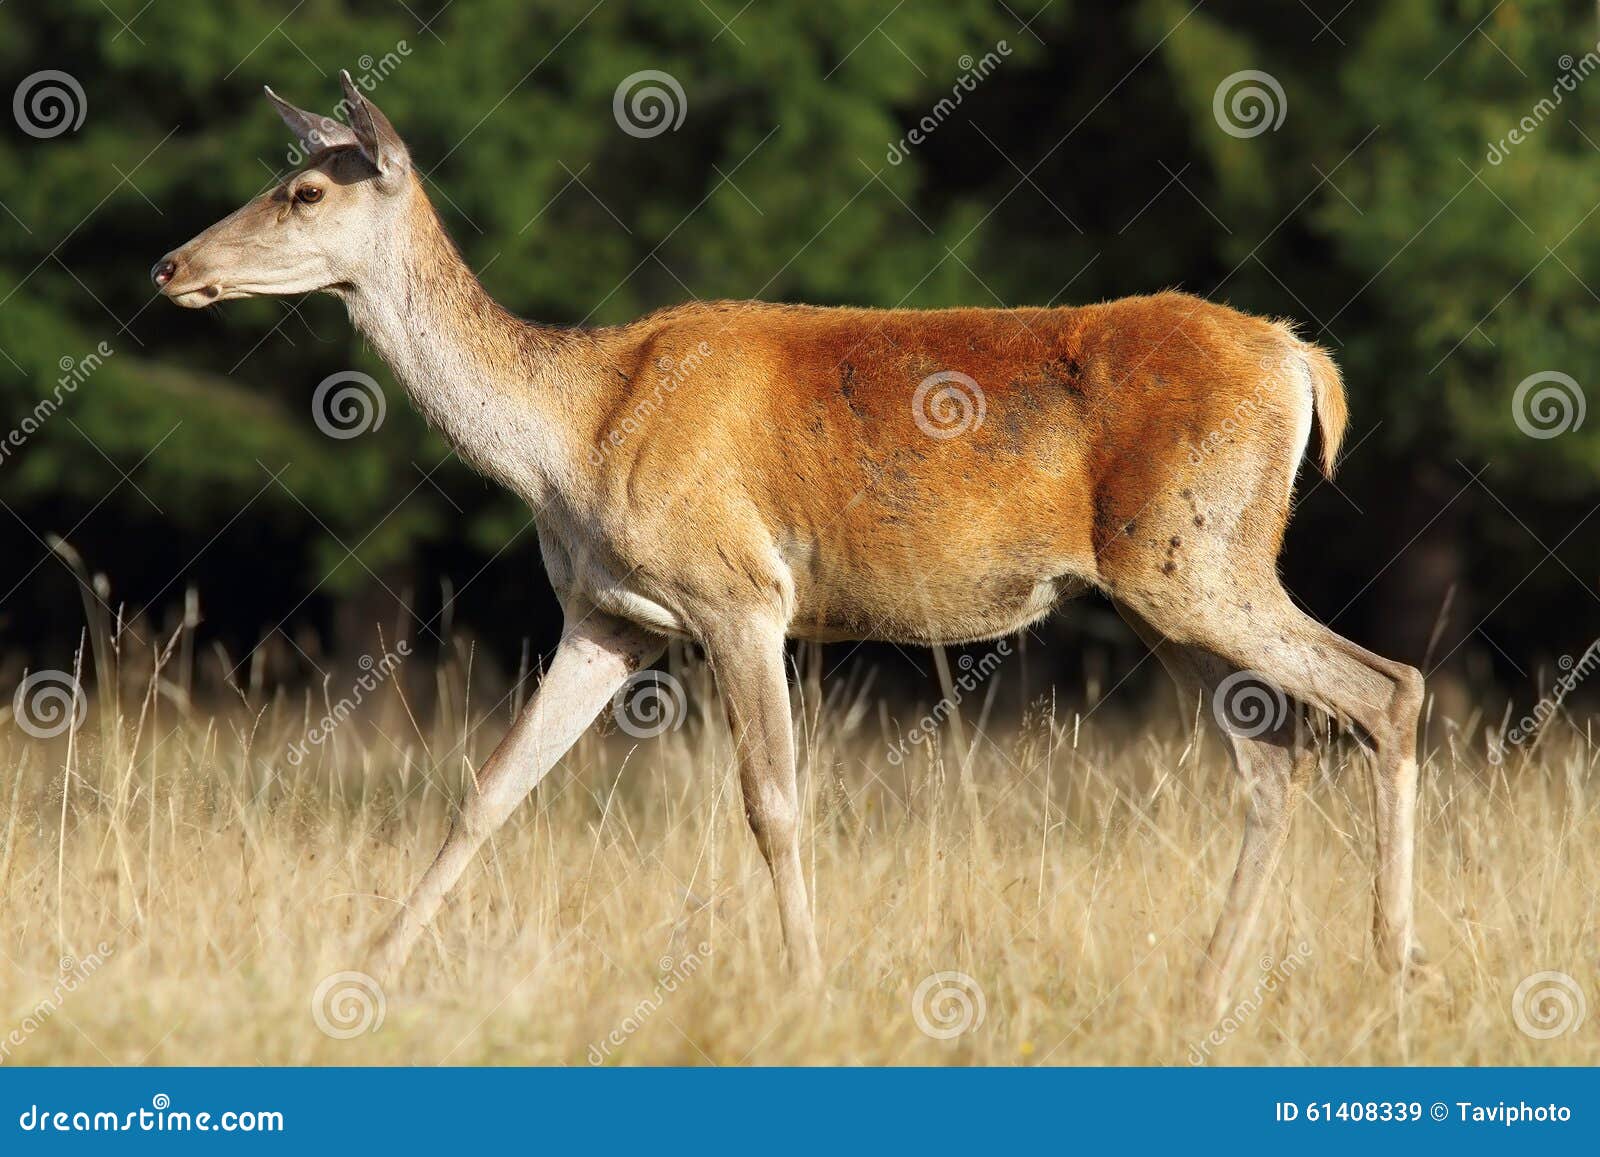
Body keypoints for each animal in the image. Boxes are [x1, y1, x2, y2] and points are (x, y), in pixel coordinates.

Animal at [152, 73, 1425, 1018]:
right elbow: (492, 784)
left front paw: (805, 983)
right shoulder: (609, 613)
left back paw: (1392, 959)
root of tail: (1304, 363)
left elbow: (773, 799)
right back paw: (1208, 985)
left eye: (301, 189)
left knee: (1388, 686)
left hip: (1198, 555)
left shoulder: (741, 591)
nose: (172, 265)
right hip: (1169, 585)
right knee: (1276, 755)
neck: (569, 436)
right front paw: (365, 967)